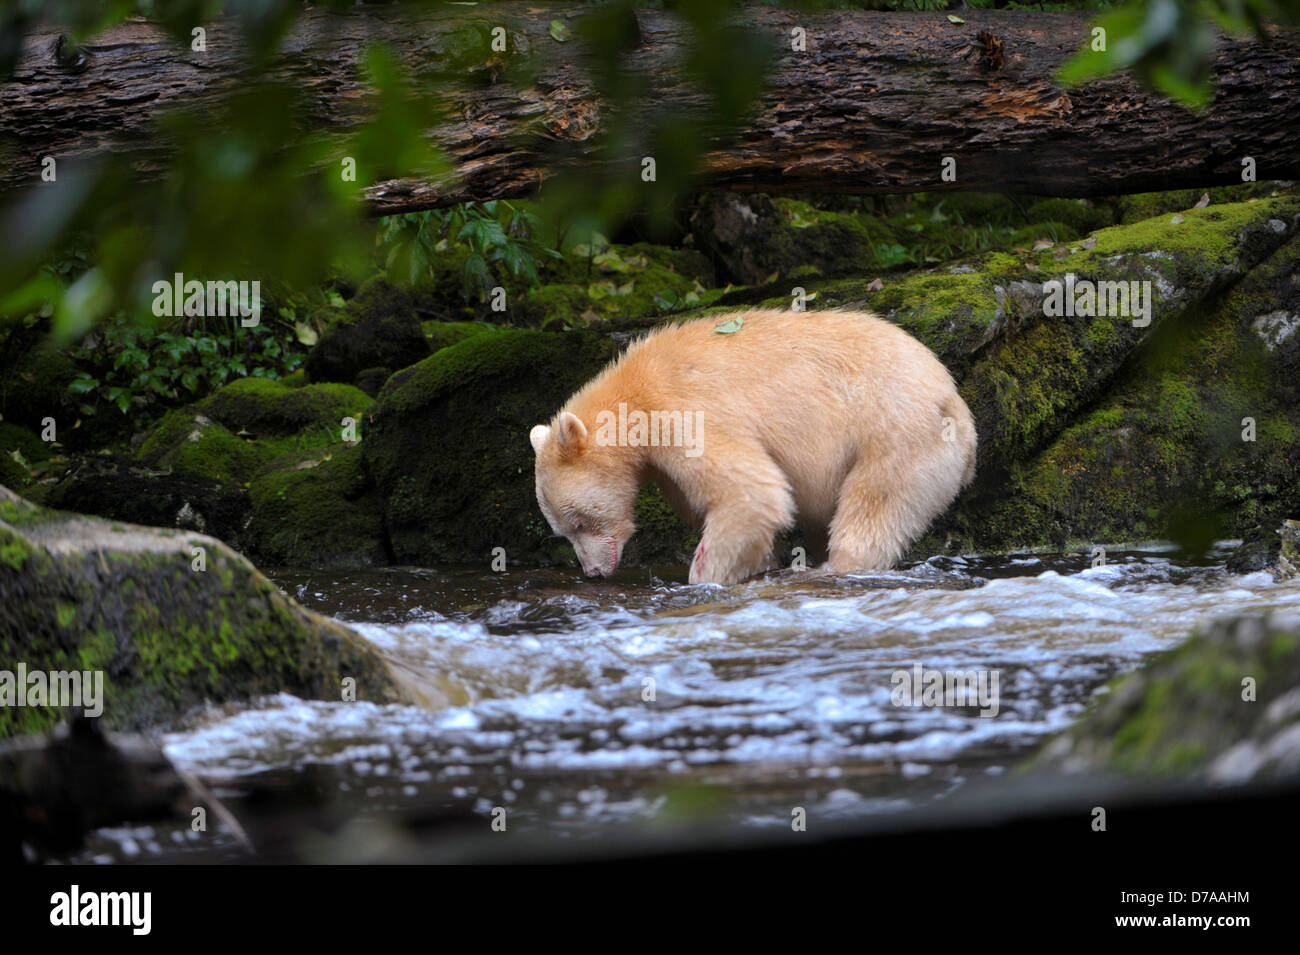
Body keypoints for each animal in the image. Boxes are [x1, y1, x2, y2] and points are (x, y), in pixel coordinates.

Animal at [529, 309, 976, 585]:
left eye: (579, 523)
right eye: (561, 531)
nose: (593, 572)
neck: (634, 392)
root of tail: (958, 407)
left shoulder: (685, 412)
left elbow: (750, 492)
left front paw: (703, 578)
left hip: (896, 436)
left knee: (874, 509)